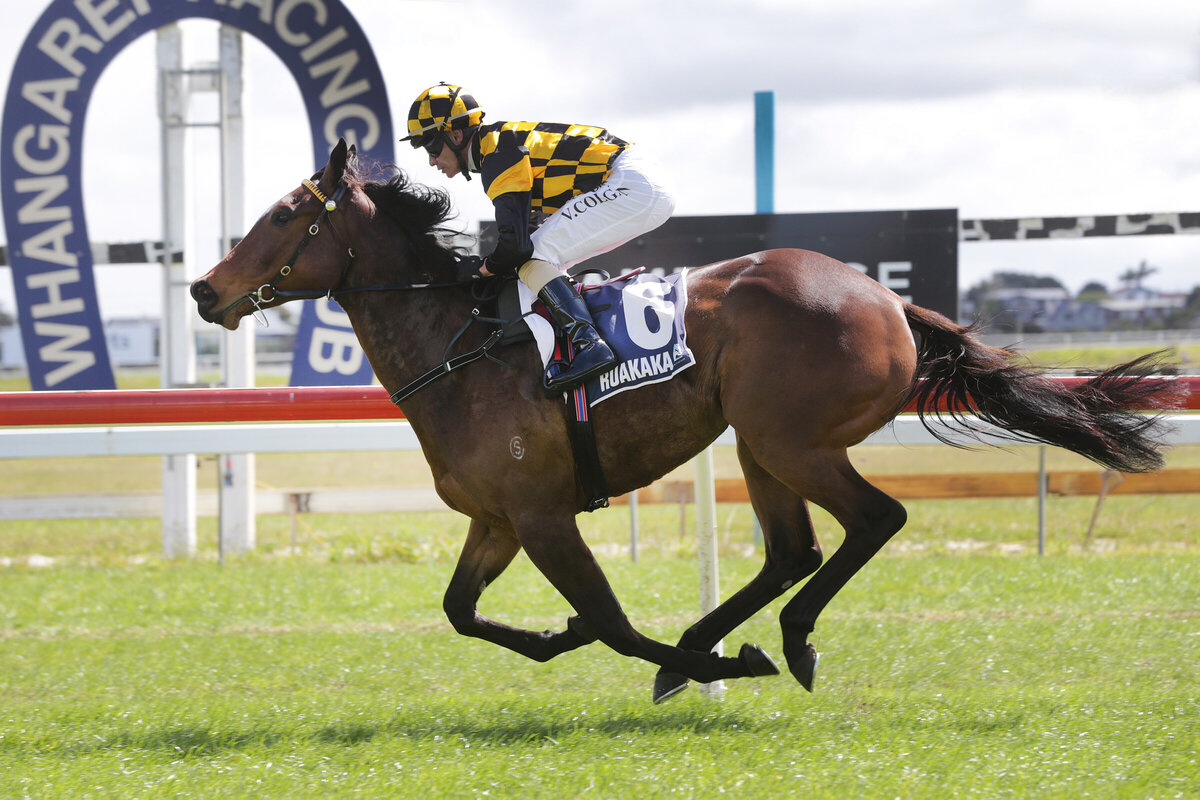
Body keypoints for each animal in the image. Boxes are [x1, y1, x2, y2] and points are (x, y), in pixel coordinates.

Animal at [191, 139, 1180, 703]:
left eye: (282, 214)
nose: (204, 289)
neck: (461, 342)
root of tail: (887, 300)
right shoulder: (498, 518)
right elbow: (461, 612)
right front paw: (561, 637)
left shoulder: (543, 516)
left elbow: (613, 622)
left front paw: (702, 666)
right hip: (757, 443)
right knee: (793, 550)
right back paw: (721, 642)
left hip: (788, 439)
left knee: (873, 520)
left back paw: (775, 644)